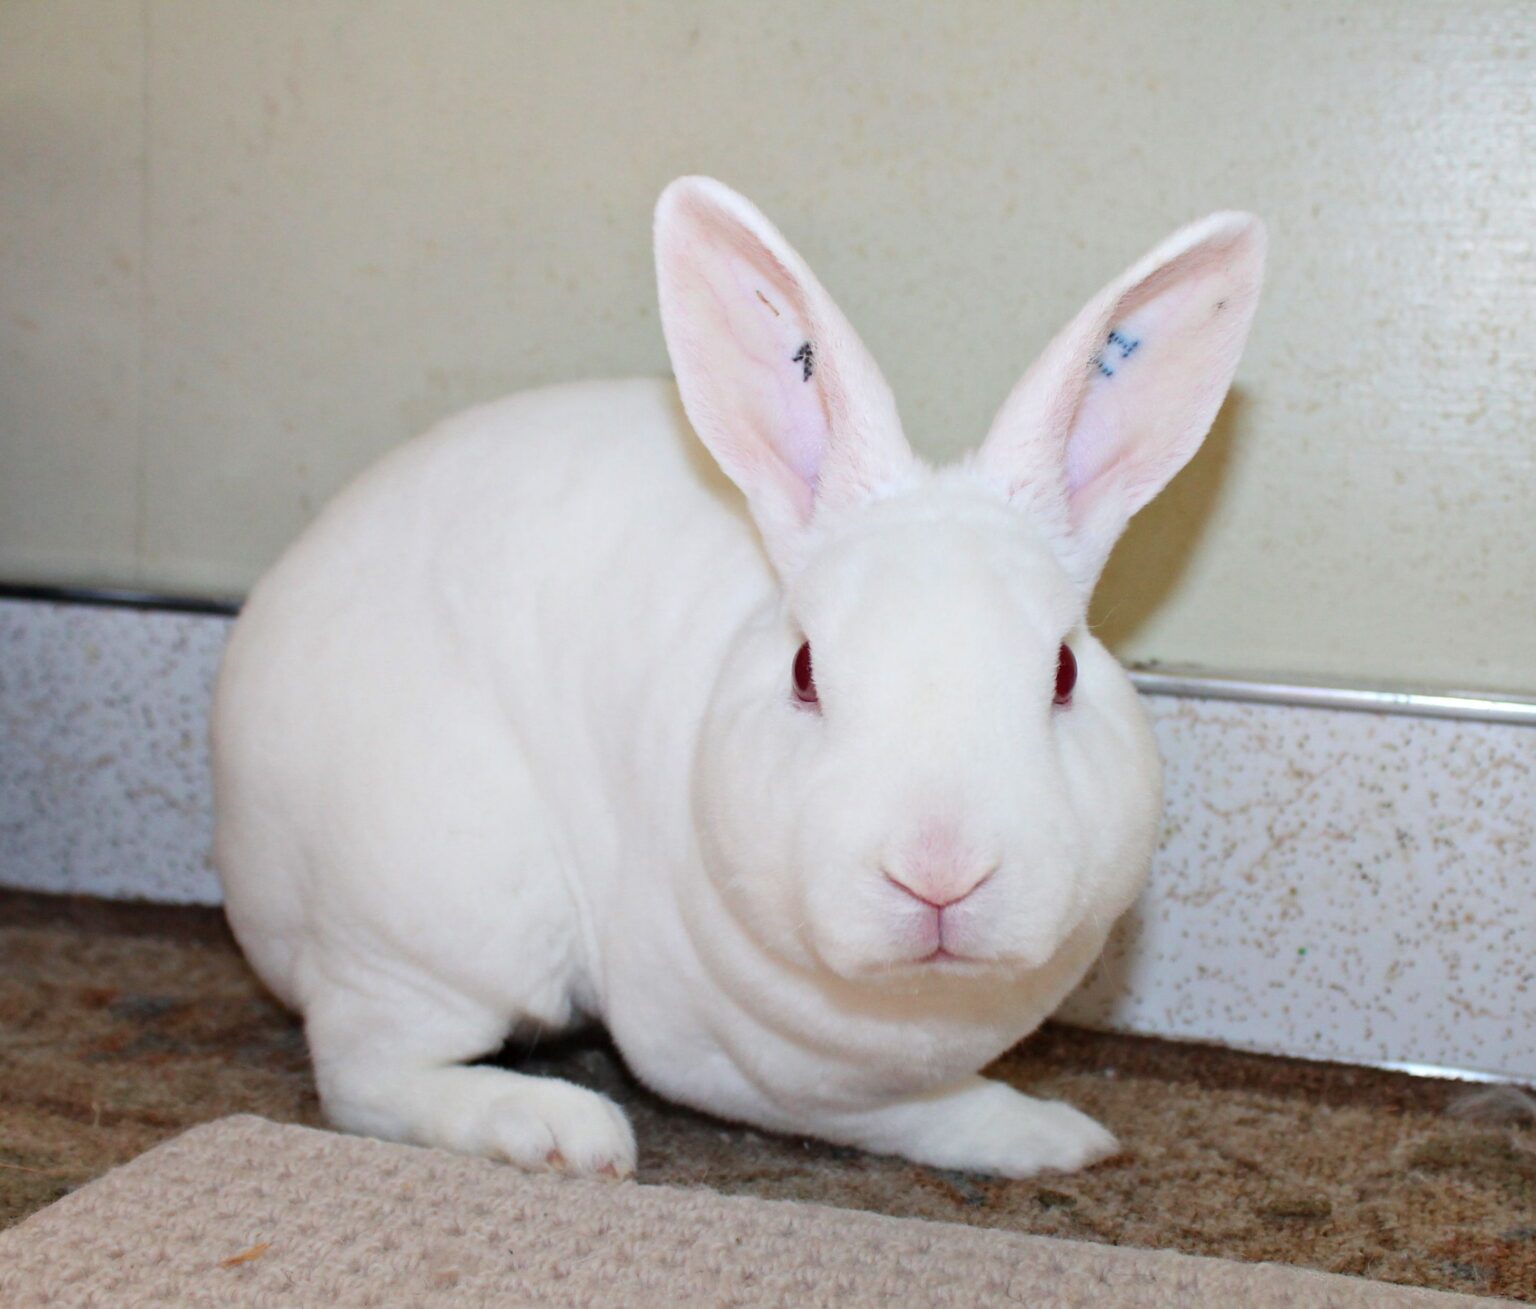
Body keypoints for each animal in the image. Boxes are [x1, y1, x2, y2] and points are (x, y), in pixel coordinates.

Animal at [212, 176, 1264, 1181]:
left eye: (1064, 670)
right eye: (804, 670)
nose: (939, 869)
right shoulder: (753, 1068)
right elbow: (924, 1111)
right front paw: (1054, 1137)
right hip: (444, 914)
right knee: (366, 1075)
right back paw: (562, 1129)